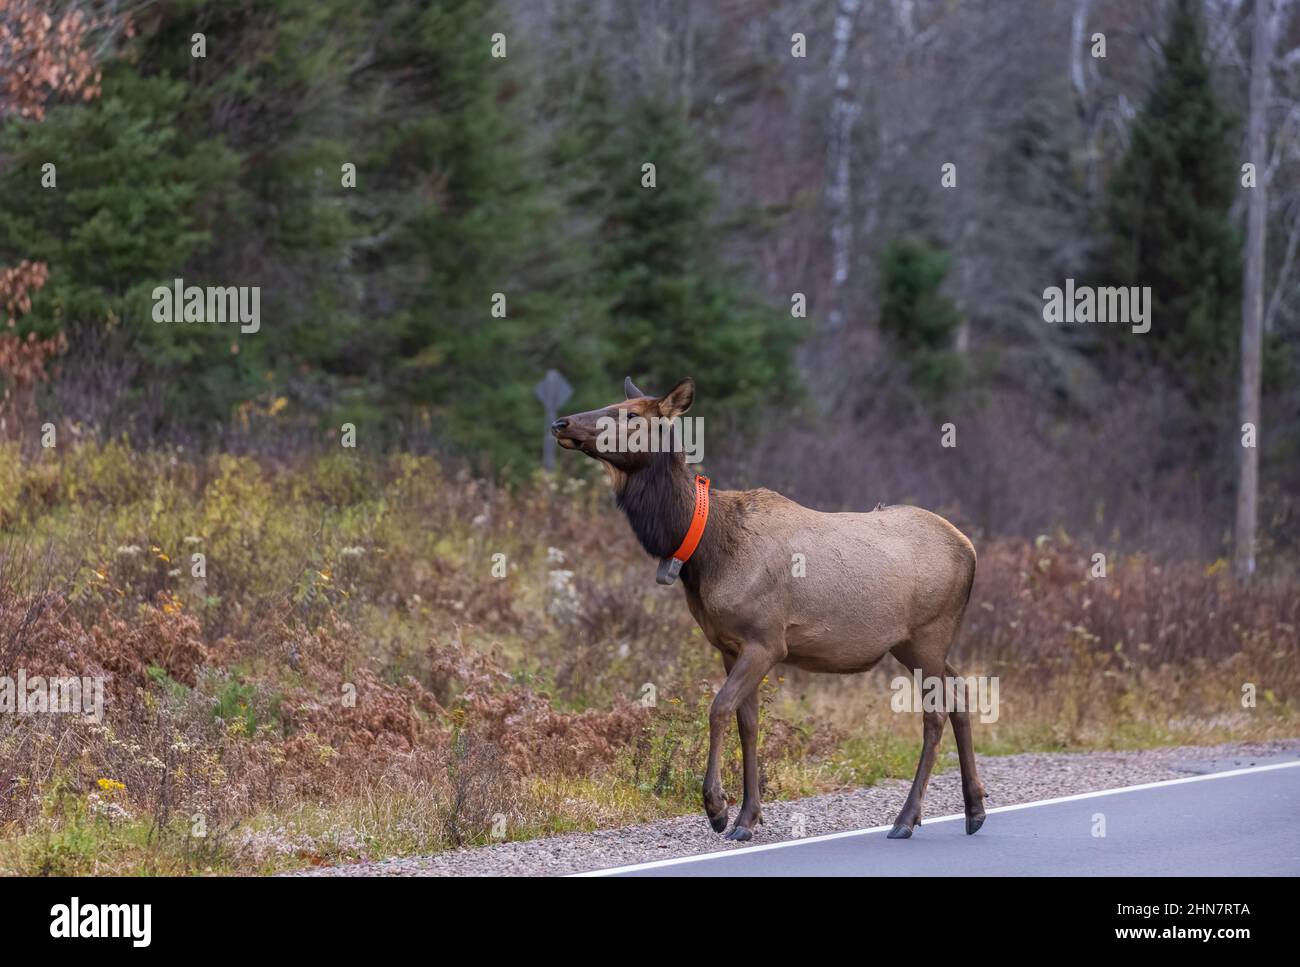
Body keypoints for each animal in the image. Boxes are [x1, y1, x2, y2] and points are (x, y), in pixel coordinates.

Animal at [551, 376, 986, 842]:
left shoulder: (766, 640)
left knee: (935, 713)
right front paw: (748, 815)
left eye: (631, 414)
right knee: (960, 690)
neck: (703, 550)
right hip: (915, 644)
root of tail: (971, 549)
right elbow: (749, 723)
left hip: (928, 633)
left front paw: (717, 808)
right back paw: (974, 809)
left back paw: (907, 818)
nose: (561, 422)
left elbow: (719, 708)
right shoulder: (728, 645)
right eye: (612, 403)